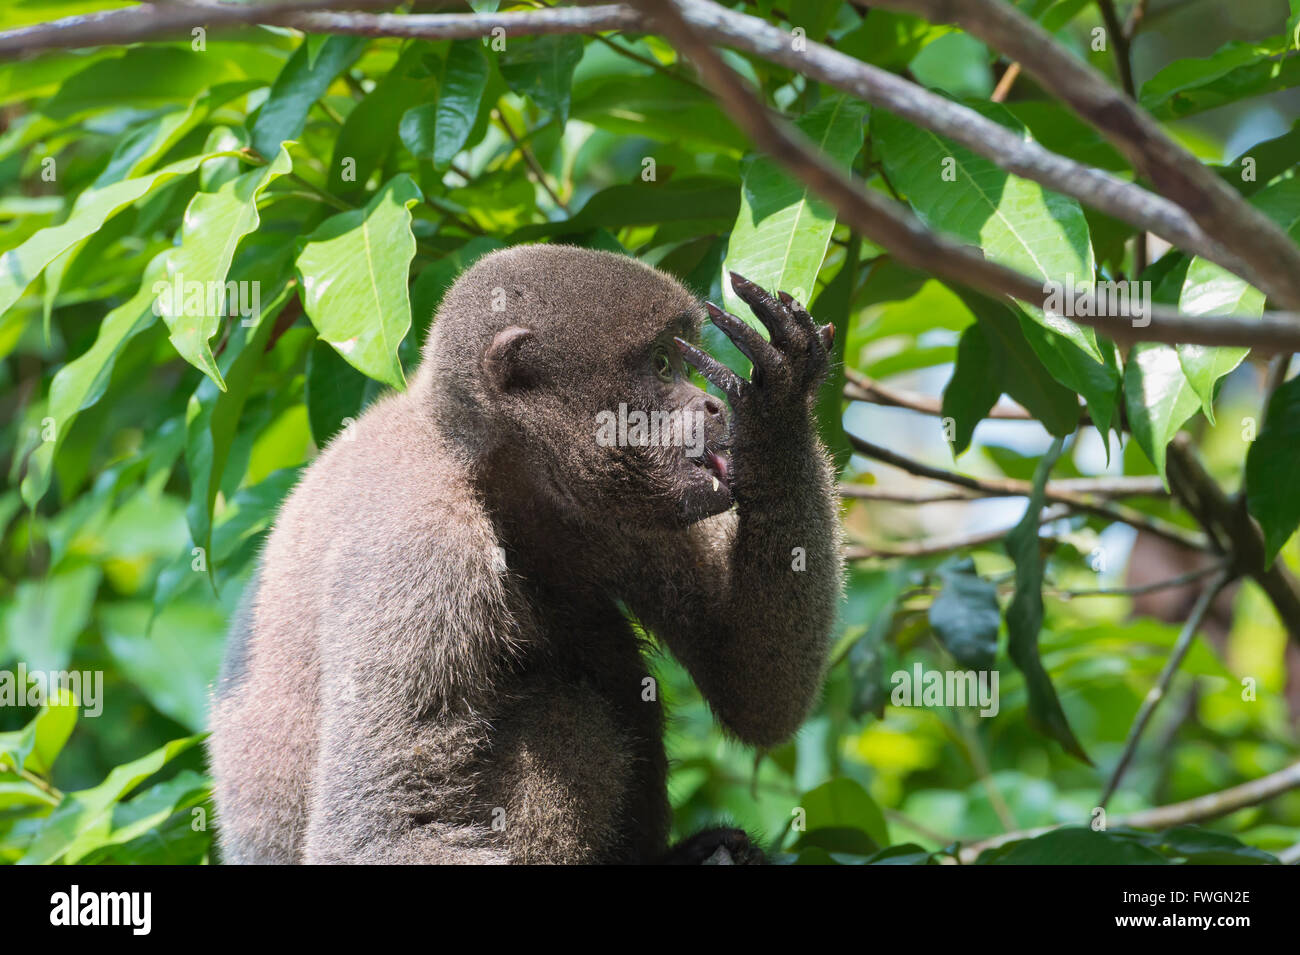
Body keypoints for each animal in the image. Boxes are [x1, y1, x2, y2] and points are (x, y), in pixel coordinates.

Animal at [208, 245, 843, 864]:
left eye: (684, 364)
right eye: (662, 364)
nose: (711, 406)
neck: (483, 463)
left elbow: (756, 688)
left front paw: (778, 410)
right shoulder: (418, 550)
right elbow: (380, 832)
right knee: (568, 715)